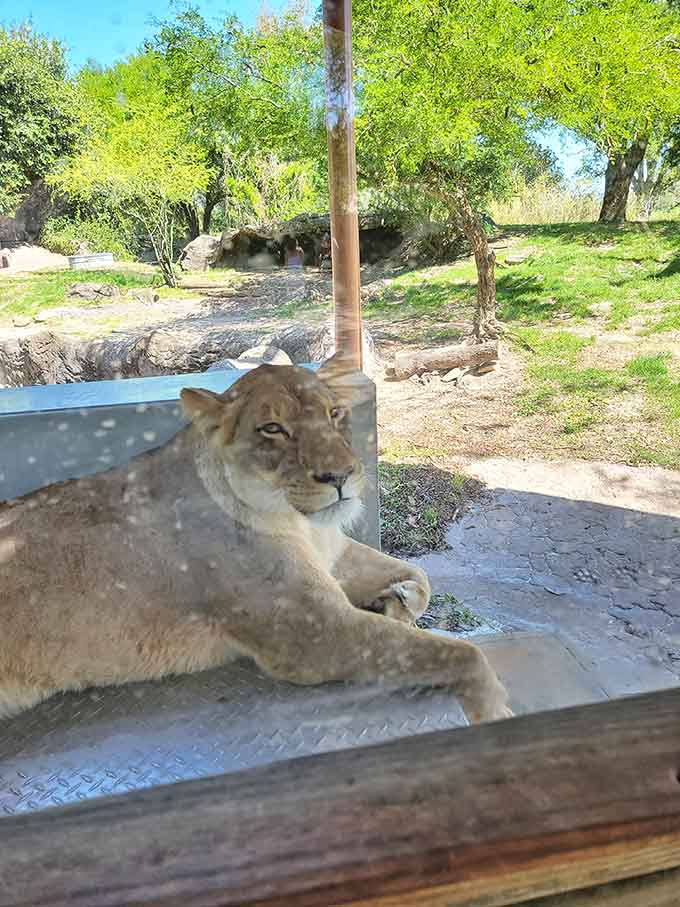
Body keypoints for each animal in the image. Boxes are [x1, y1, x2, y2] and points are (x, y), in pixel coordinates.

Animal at [0, 354, 511, 724]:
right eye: (273, 429)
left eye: (335, 414)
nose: (341, 476)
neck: (300, 523)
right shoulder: (313, 633)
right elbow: (462, 654)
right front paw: (496, 710)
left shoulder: (331, 558)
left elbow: (418, 573)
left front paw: (397, 600)